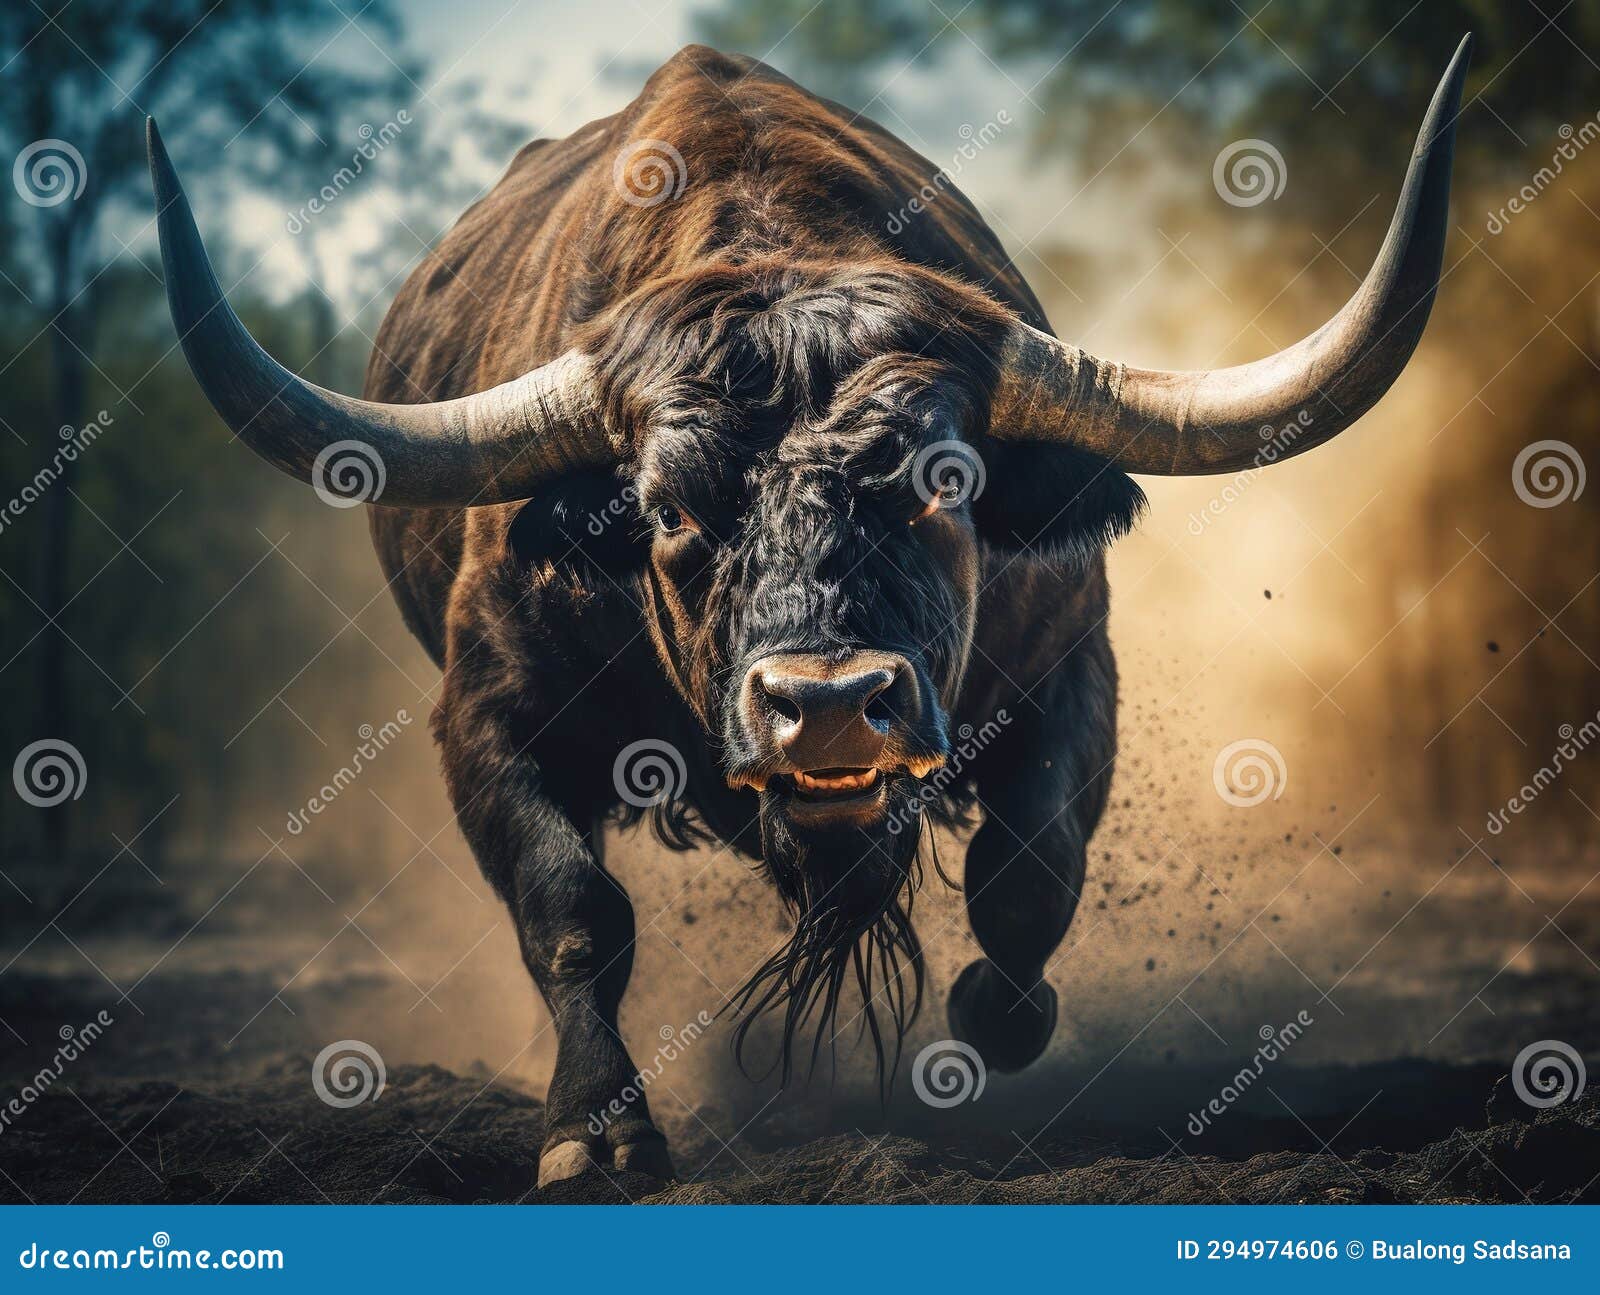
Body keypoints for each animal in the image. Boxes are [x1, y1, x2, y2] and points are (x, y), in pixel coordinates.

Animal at [147, 36, 1471, 1185]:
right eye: (665, 510)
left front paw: (994, 1015)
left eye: (946, 481)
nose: (828, 703)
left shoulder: (1070, 670)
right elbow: (573, 910)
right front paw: (595, 1131)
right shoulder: (488, 713)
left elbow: (1028, 869)